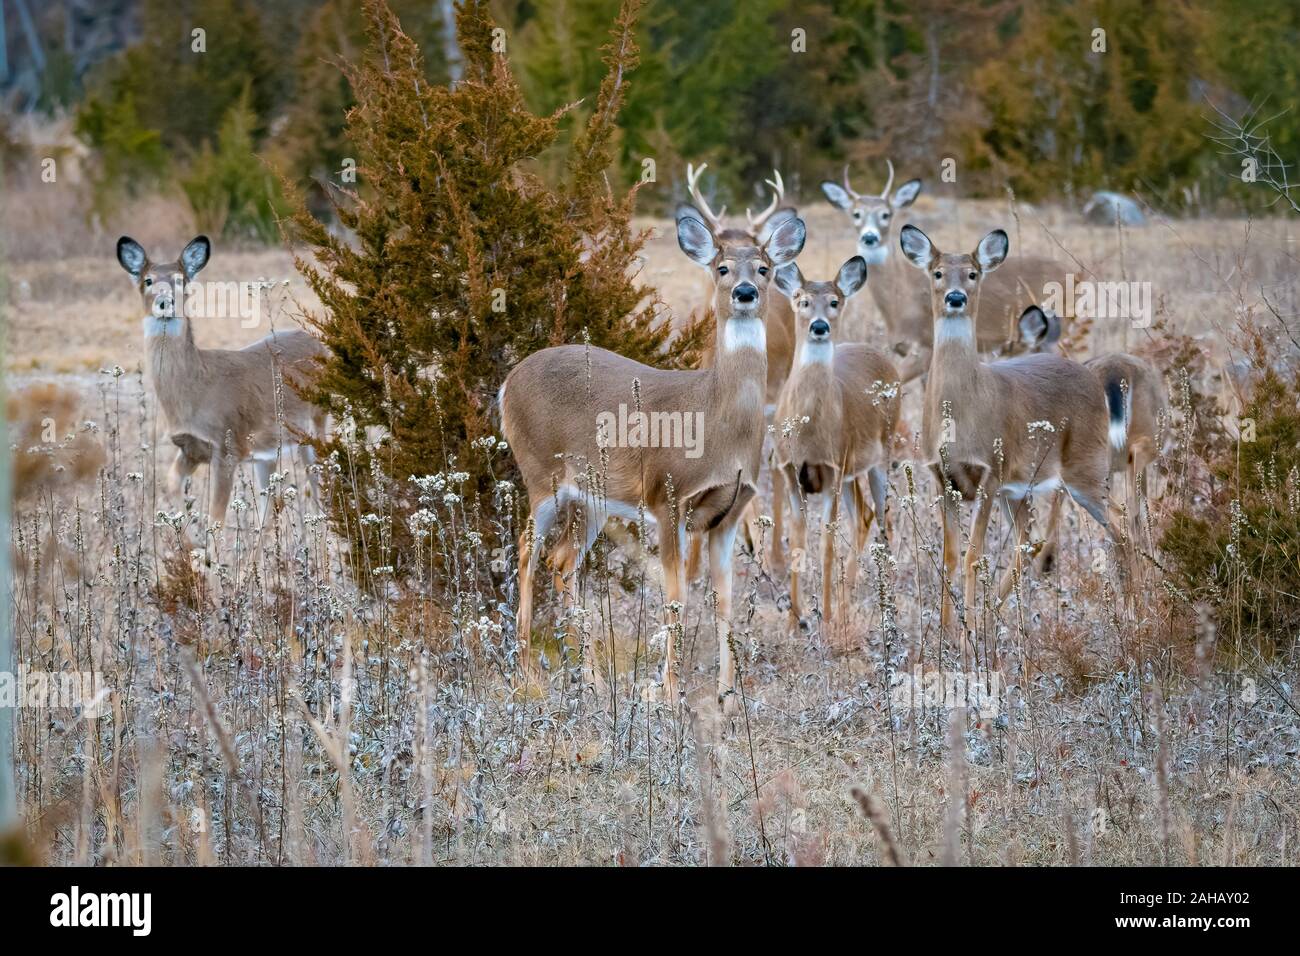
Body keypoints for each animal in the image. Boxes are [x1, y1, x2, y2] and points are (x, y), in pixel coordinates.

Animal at [116, 236, 327, 531]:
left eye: (180, 279)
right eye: (148, 280)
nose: (165, 302)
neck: (195, 389)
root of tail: (319, 343)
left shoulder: (228, 445)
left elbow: (215, 519)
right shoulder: (190, 447)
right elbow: (172, 485)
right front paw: (186, 535)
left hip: (317, 422)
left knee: (321, 487)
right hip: (268, 452)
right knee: (269, 512)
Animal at [501, 203, 806, 710]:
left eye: (764, 269)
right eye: (722, 268)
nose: (744, 291)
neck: (717, 425)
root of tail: (506, 383)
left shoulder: (729, 512)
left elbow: (724, 601)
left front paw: (727, 694)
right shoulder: (669, 498)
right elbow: (675, 596)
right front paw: (667, 691)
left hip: (592, 497)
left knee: (562, 561)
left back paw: (593, 679)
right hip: (540, 474)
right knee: (528, 550)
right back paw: (527, 672)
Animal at [771, 256, 901, 632]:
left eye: (834, 301)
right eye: (801, 299)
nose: (819, 326)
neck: (808, 435)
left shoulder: (830, 468)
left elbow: (827, 545)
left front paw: (826, 617)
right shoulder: (790, 471)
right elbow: (798, 541)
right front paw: (794, 621)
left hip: (879, 456)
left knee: (883, 518)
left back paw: (881, 595)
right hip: (850, 471)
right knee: (864, 514)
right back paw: (852, 588)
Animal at [898, 225, 1118, 638]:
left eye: (972, 273)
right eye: (937, 272)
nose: (955, 297)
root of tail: (1091, 375)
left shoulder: (989, 470)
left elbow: (973, 554)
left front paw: (965, 637)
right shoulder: (943, 476)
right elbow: (951, 555)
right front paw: (947, 631)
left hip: (1086, 468)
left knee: (1124, 527)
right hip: (1020, 489)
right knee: (1027, 542)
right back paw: (990, 617)